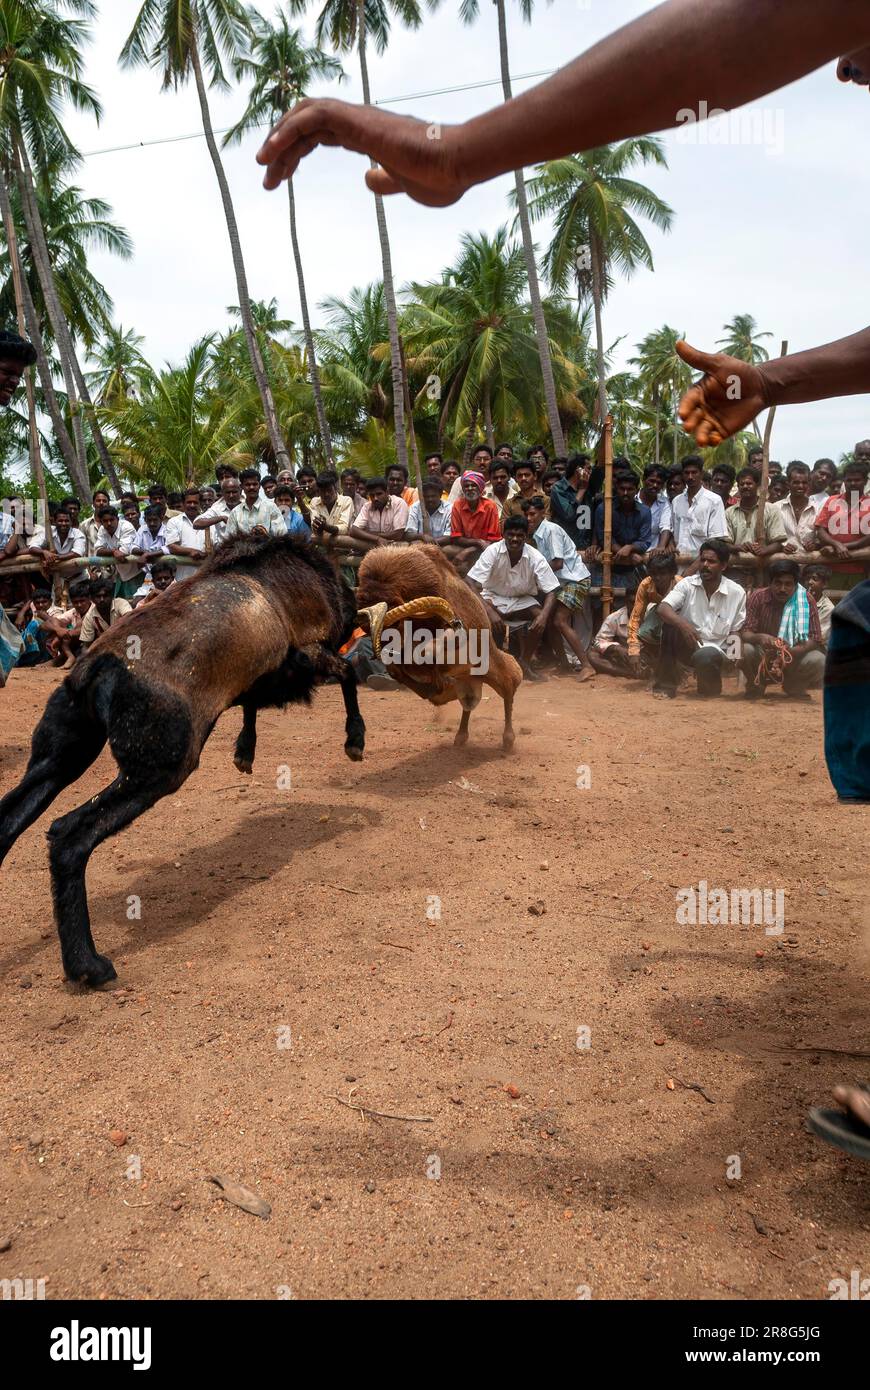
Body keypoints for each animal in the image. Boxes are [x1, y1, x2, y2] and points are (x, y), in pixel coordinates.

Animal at [0, 534, 367, 987]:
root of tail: (97, 667)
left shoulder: (263, 678)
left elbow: (254, 705)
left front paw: (244, 752)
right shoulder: (306, 657)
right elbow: (347, 672)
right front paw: (355, 739)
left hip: (61, 751)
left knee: (11, 819)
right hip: (158, 768)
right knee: (68, 836)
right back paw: (88, 965)